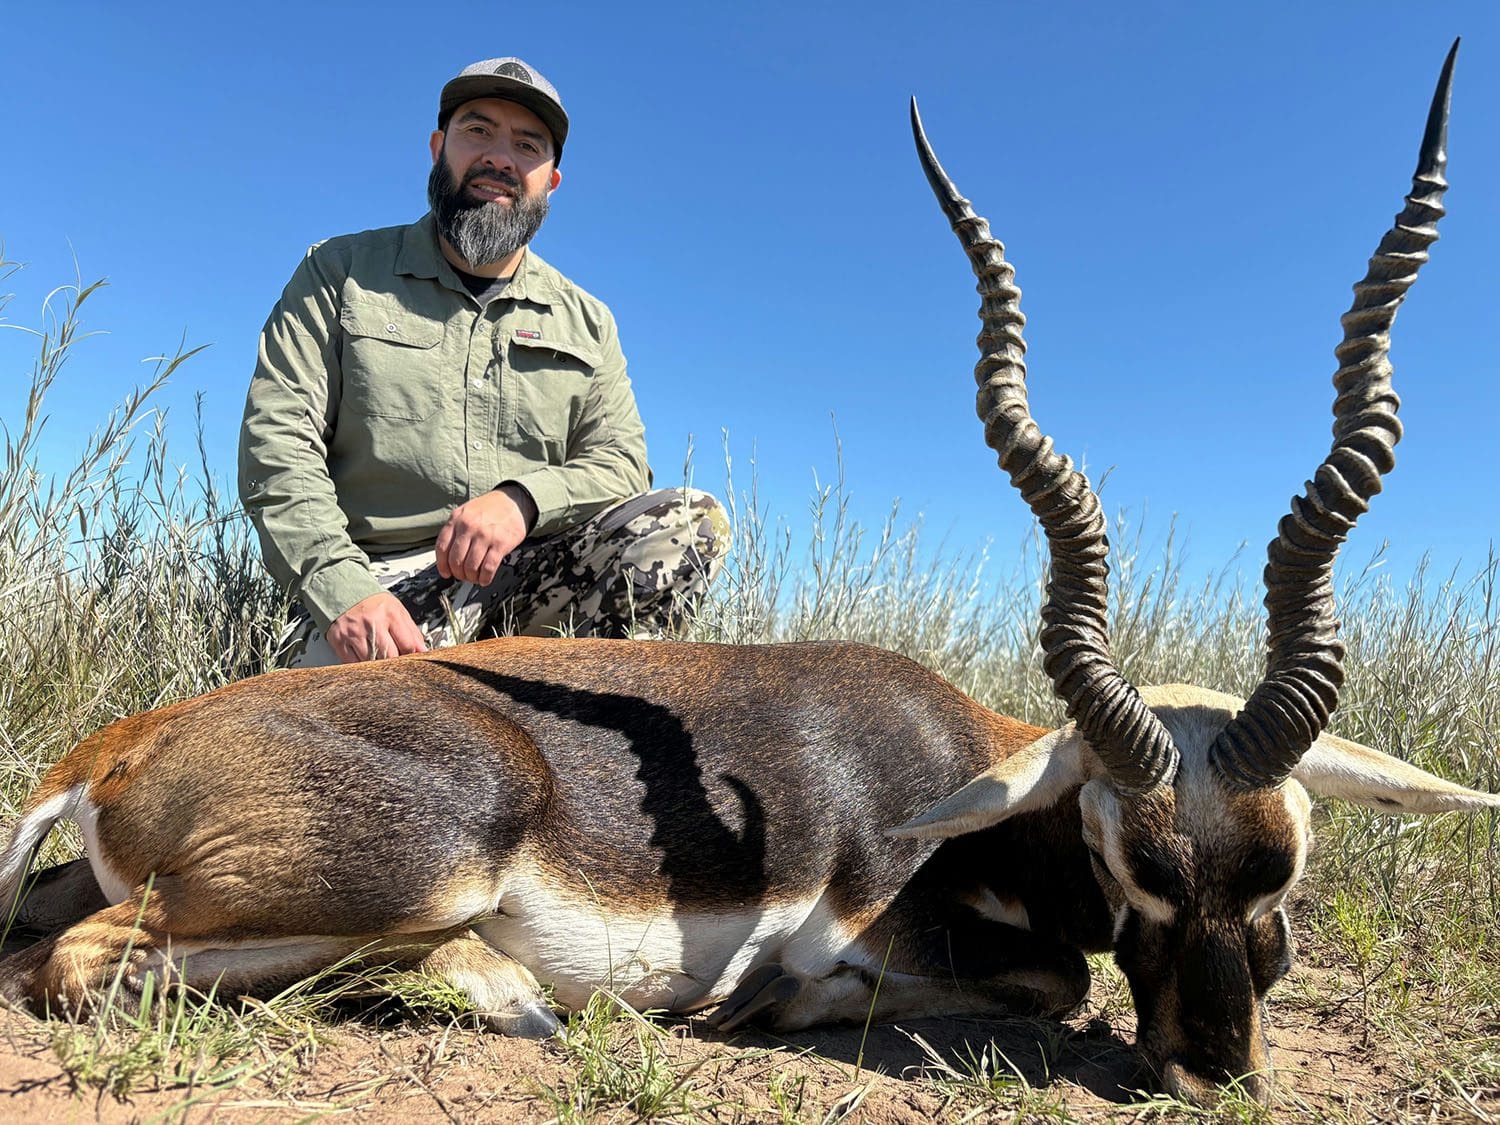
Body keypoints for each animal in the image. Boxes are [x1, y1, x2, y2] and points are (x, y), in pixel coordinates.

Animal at [0, 40, 1491, 1106]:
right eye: (1134, 860)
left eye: (1283, 863)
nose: (1212, 1070)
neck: (970, 776)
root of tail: (121, 745)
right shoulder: (883, 930)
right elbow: (1055, 980)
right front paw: (758, 1004)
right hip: (424, 854)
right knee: (78, 965)